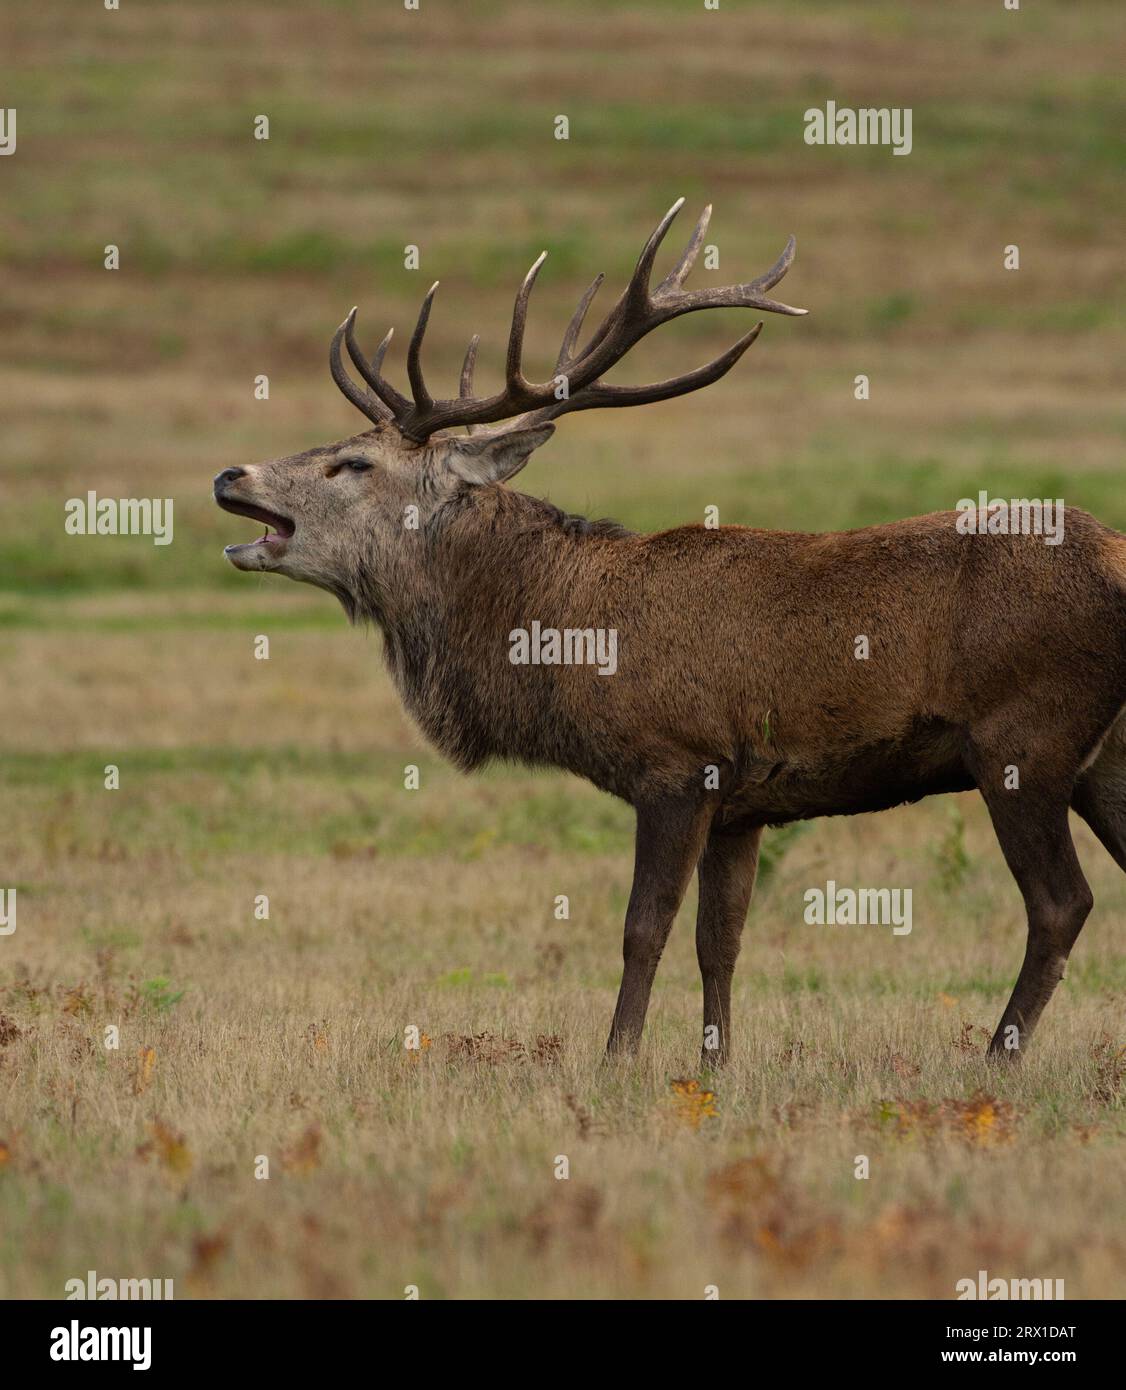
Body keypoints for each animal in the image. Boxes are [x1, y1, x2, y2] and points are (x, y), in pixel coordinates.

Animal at [214, 199, 1126, 1064]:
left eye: (353, 465)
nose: (231, 473)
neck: (569, 635)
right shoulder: (745, 803)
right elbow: (720, 942)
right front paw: (715, 1067)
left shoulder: (678, 763)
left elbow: (642, 930)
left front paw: (615, 1061)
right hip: (1101, 758)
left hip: (1022, 737)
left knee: (1062, 903)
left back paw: (996, 1060)